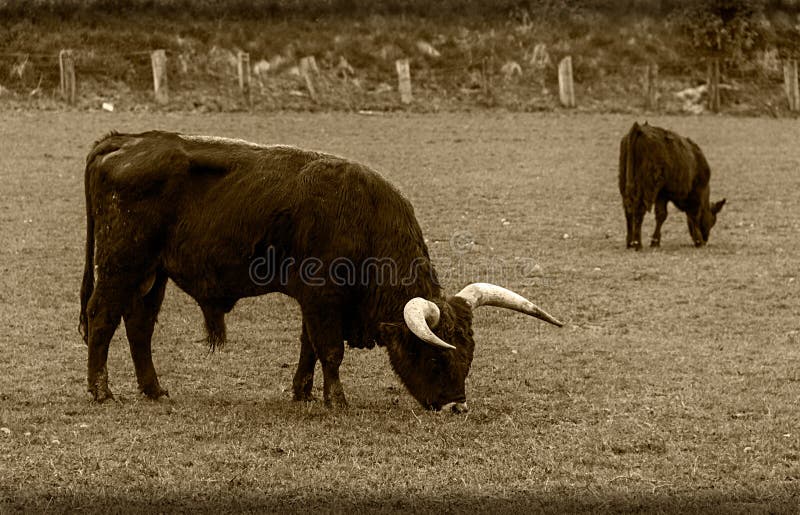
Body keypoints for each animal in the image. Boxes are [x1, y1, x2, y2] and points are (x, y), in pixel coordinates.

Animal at [79, 131, 563, 413]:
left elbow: (308, 347)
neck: (363, 218)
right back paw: (102, 392)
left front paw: (303, 392)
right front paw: (337, 400)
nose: (455, 407)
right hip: (122, 265)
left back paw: (153, 390)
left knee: (139, 327)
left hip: (151, 275)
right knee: (103, 319)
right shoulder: (322, 297)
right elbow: (329, 350)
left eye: (469, 353)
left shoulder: (314, 303)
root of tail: (123, 141)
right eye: (432, 355)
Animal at [618, 122, 726, 250]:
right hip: (647, 186)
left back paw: (630, 243)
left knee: (628, 209)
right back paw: (637, 243)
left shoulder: (662, 193)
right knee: (639, 209)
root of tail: (638, 128)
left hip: (624, 181)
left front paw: (655, 242)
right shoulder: (695, 193)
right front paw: (698, 241)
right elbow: (692, 214)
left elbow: (661, 214)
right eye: (712, 221)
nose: (705, 239)